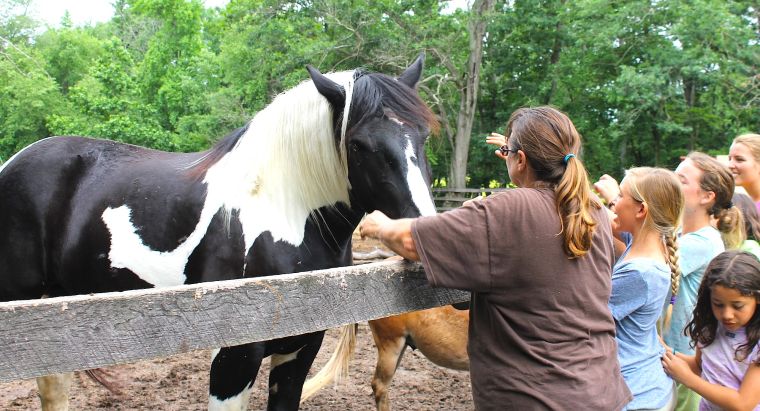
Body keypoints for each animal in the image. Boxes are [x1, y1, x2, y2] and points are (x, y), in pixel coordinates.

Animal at [0, 54, 438, 411]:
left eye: (423, 135)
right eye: (359, 143)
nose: (421, 225)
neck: (283, 211)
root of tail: (14, 163)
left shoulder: (299, 349)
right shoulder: (233, 356)